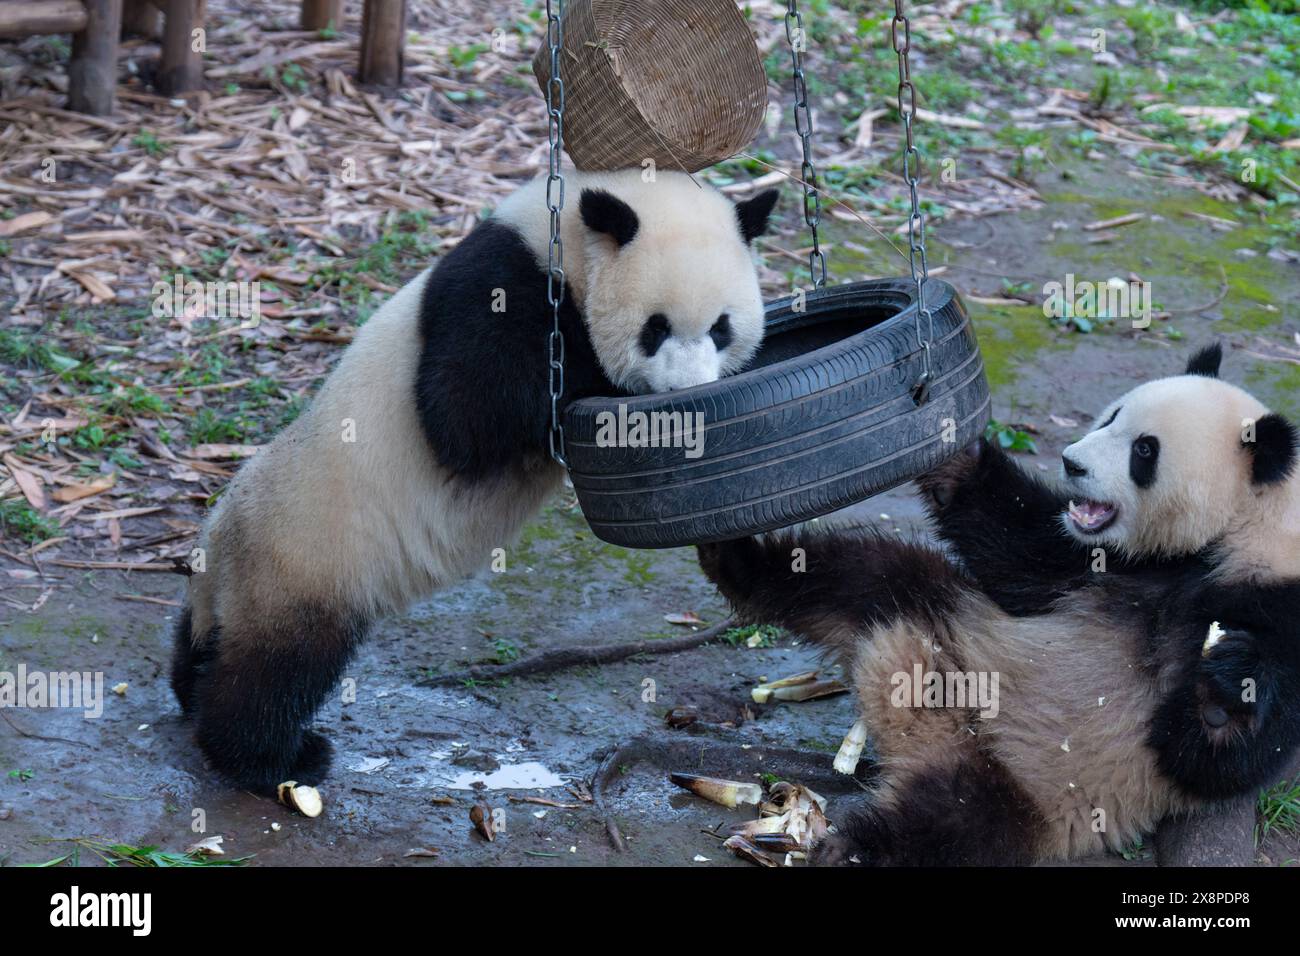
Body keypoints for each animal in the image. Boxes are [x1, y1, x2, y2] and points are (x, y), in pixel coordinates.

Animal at [171, 169, 780, 793]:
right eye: (655, 329)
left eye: (722, 328)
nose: (686, 391)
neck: (568, 240)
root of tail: (219, 546)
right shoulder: (497, 283)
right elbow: (461, 410)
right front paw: (596, 375)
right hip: (307, 561)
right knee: (274, 673)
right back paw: (274, 760)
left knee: (206, 646)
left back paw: (191, 687)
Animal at [698, 344, 1300, 865]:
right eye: (1112, 416)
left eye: (1144, 450)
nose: (1072, 463)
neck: (1238, 531)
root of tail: (917, 734)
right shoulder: (1103, 563)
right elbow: (1016, 549)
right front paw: (951, 447)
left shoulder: (1272, 601)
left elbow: (1216, 760)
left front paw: (1225, 691)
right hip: (943, 623)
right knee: (864, 574)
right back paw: (738, 562)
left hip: (1026, 792)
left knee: (945, 828)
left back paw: (847, 850)